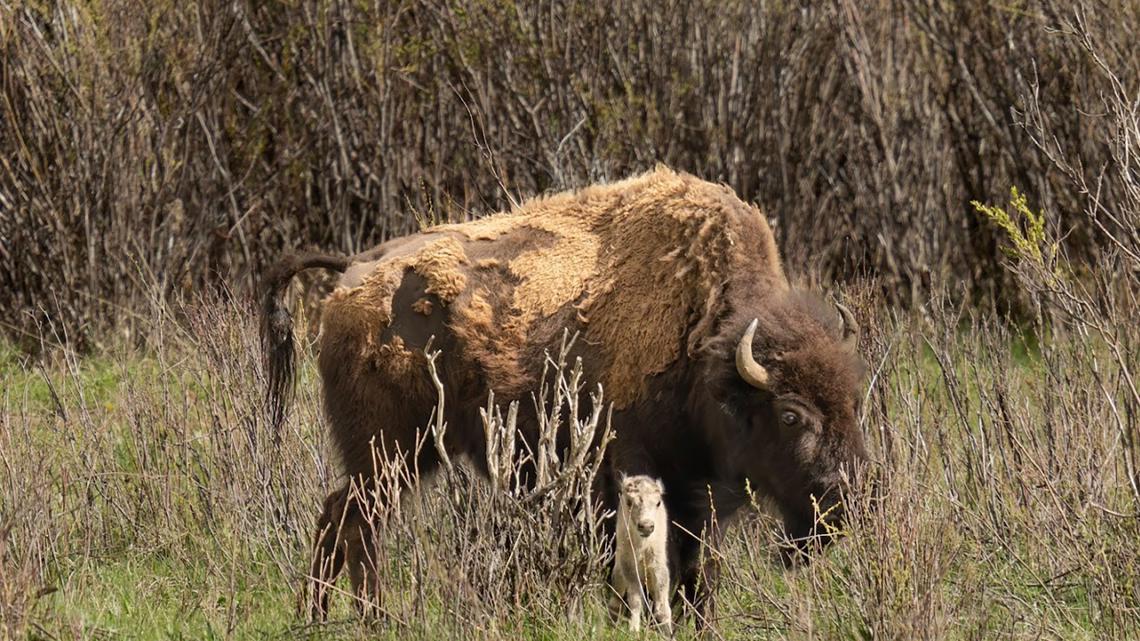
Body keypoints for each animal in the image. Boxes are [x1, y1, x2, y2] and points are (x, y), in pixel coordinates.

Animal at [261, 167, 867, 623]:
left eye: (854, 400)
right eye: (790, 416)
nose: (843, 502)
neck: (700, 339)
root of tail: (352, 273)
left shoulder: (696, 497)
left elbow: (697, 570)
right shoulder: (622, 474)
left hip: (406, 453)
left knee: (338, 519)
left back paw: (317, 616)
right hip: (388, 451)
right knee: (355, 522)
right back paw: (374, 617)